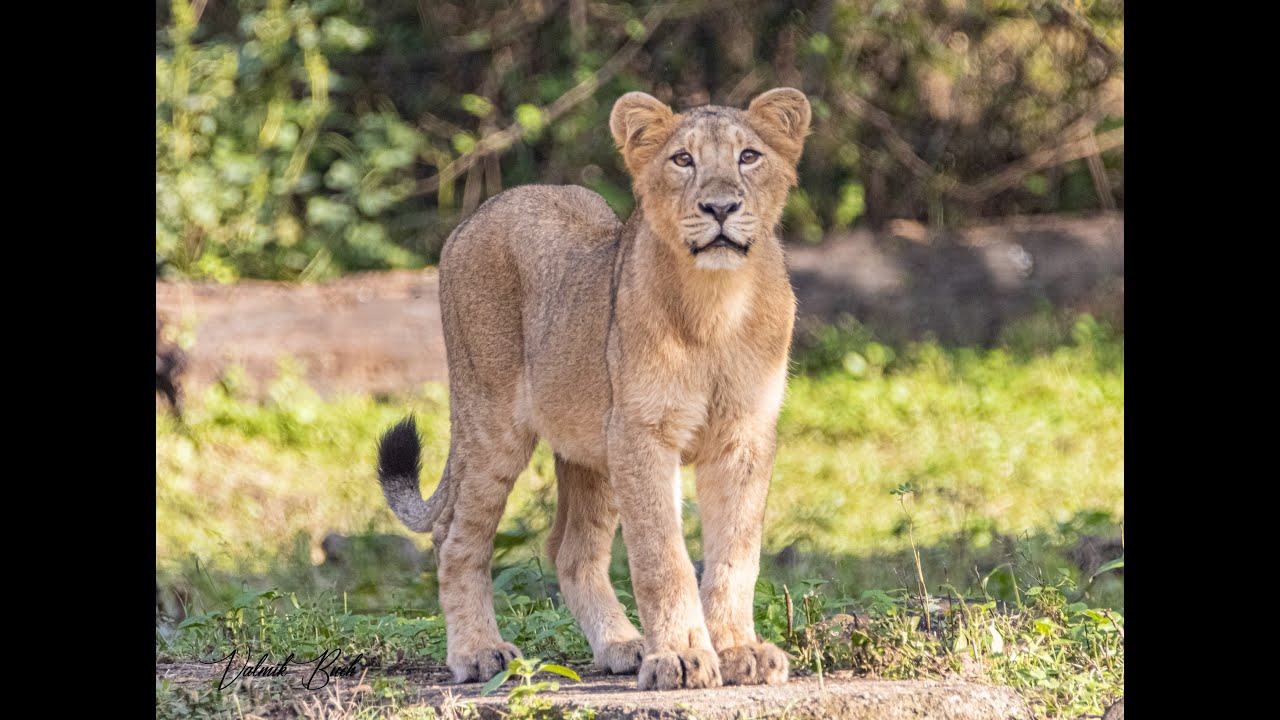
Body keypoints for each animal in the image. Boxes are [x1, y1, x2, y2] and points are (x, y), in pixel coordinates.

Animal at [377, 88, 811, 690]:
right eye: (683, 160)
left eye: (749, 156)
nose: (720, 208)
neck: (718, 302)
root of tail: (478, 214)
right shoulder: (642, 433)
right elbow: (661, 557)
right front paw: (680, 657)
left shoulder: (744, 435)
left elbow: (736, 556)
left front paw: (738, 650)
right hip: (492, 421)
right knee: (456, 540)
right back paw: (480, 653)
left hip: (591, 448)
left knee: (569, 549)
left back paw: (622, 645)